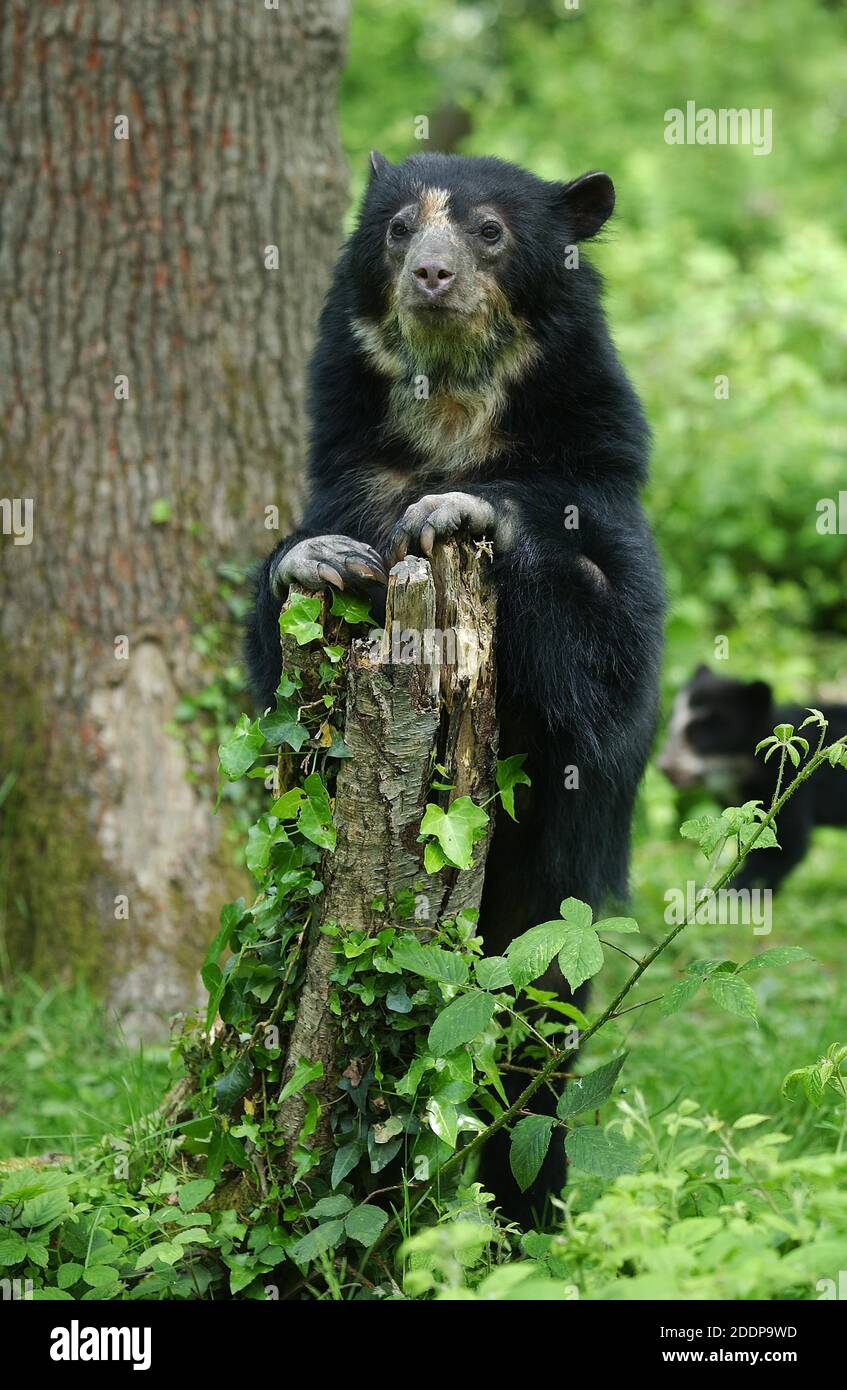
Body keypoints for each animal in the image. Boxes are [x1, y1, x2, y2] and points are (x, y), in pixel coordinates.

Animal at [246, 150, 665, 1225]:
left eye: (487, 232)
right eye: (397, 228)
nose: (430, 275)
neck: (449, 420)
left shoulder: (594, 481)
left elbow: (611, 664)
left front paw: (462, 511)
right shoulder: (350, 474)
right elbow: (269, 656)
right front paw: (315, 562)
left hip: (550, 922)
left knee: (531, 1059)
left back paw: (526, 1214)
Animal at [659, 665, 847, 891]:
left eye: (702, 735)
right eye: (672, 728)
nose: (664, 767)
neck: (740, 776)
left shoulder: (790, 787)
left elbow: (784, 847)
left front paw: (728, 892)